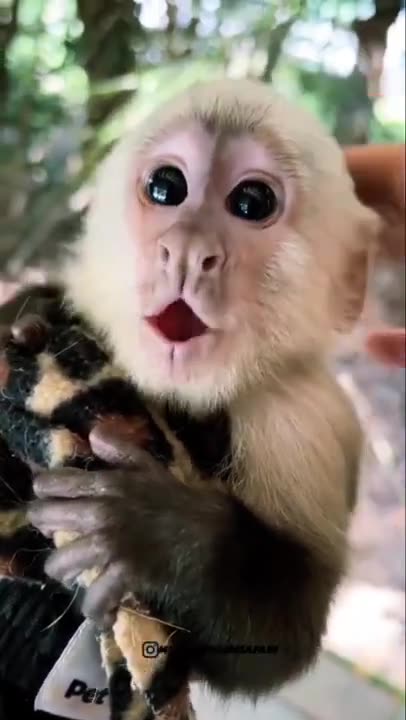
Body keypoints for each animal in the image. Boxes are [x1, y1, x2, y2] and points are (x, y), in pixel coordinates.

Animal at [2, 78, 380, 703]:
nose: (185, 251)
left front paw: (150, 534)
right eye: (166, 188)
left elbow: (279, 641)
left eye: (252, 202)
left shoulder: (308, 419)